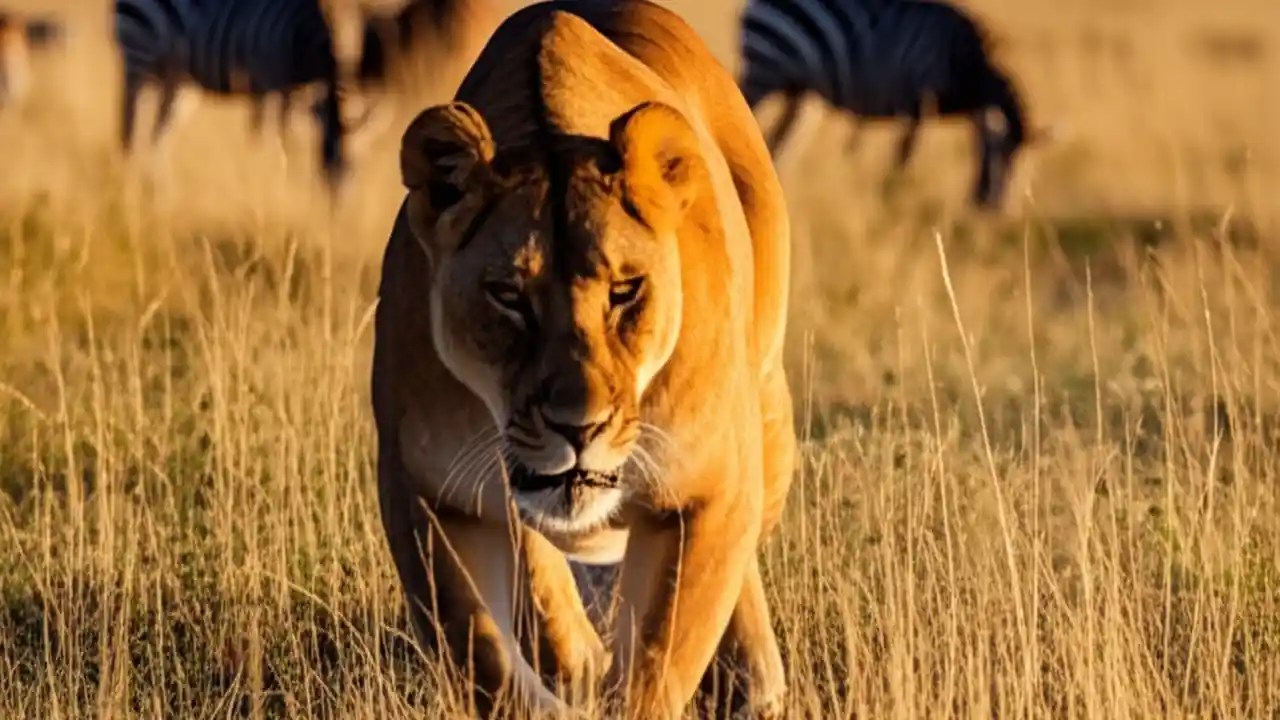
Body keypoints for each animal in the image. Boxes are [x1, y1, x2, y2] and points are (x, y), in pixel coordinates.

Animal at [114, 0, 362, 192]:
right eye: (327, 166)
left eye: (352, 170)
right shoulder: (269, 84)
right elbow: (274, 138)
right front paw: (273, 181)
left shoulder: (290, 93)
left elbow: (276, 136)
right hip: (137, 55)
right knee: (128, 127)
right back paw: (127, 180)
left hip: (176, 78)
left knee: (159, 135)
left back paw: (159, 188)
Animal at [371, 1, 795, 716]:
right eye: (509, 296)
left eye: (625, 291)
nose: (580, 427)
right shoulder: (425, 492)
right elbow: (484, 649)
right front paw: (572, 674)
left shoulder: (705, 490)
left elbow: (658, 658)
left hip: (765, 428)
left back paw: (753, 683)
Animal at [738, 0, 1035, 208]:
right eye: (999, 156)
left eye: (1018, 161)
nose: (994, 211)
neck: (964, 64)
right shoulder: (919, 100)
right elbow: (904, 154)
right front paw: (894, 194)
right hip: (764, 70)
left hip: (800, 89)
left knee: (779, 142)